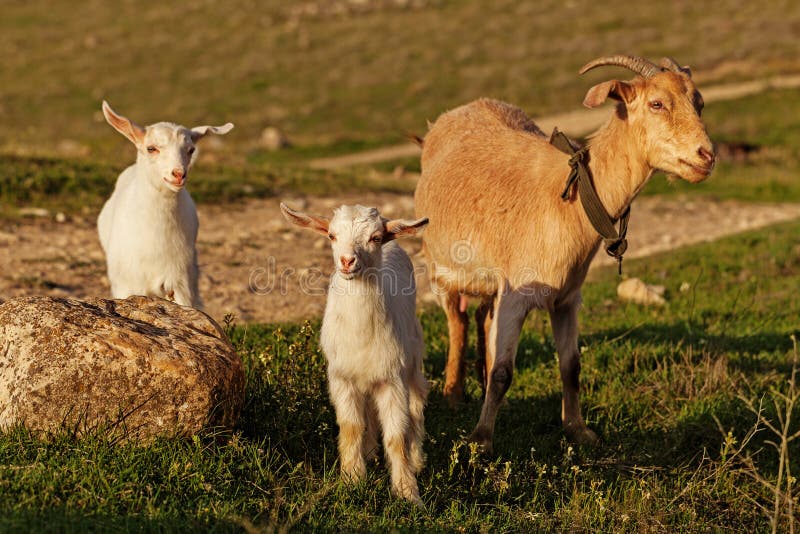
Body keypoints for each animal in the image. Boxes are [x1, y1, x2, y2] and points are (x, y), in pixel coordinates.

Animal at [281, 202, 429, 504]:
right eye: (331, 236)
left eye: (375, 237)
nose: (347, 261)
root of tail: (395, 245)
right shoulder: (342, 378)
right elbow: (351, 428)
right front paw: (351, 481)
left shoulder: (392, 379)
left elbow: (397, 436)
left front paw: (407, 492)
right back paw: (370, 453)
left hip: (413, 357)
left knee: (418, 401)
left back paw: (417, 459)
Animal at [414, 55, 715, 451]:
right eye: (656, 103)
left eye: (699, 102)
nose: (706, 155)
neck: (570, 198)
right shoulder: (517, 294)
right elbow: (504, 372)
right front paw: (481, 440)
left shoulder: (567, 298)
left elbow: (571, 366)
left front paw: (578, 429)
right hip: (440, 268)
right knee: (457, 319)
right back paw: (453, 392)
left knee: (481, 317)